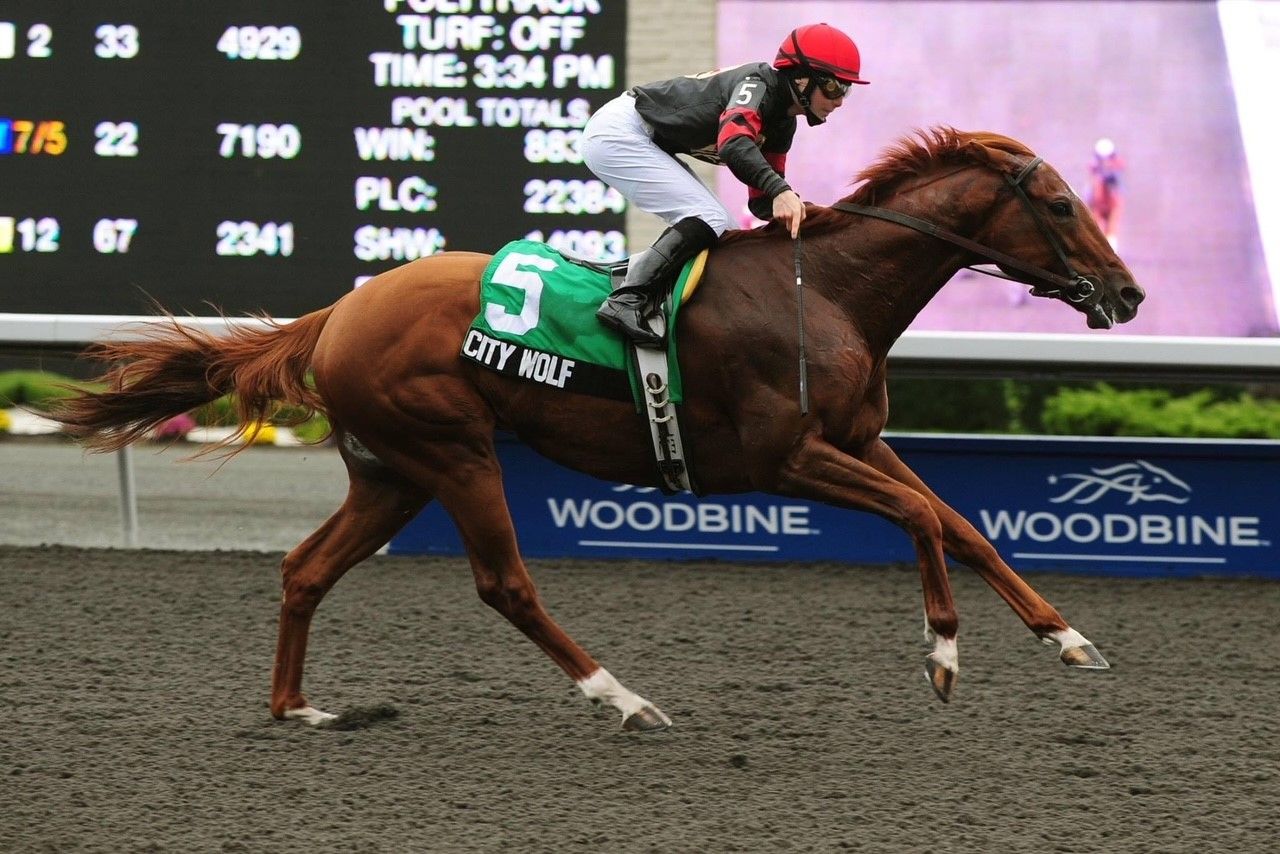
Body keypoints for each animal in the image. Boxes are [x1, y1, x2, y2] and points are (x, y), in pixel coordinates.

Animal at [53, 127, 1145, 731]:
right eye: (1059, 204)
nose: (1127, 292)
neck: (824, 289)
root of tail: (336, 311)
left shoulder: (856, 442)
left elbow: (960, 522)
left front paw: (1069, 638)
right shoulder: (787, 457)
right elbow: (920, 521)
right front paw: (943, 655)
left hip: (393, 472)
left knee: (304, 570)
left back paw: (298, 706)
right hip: (454, 451)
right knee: (504, 584)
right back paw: (621, 697)